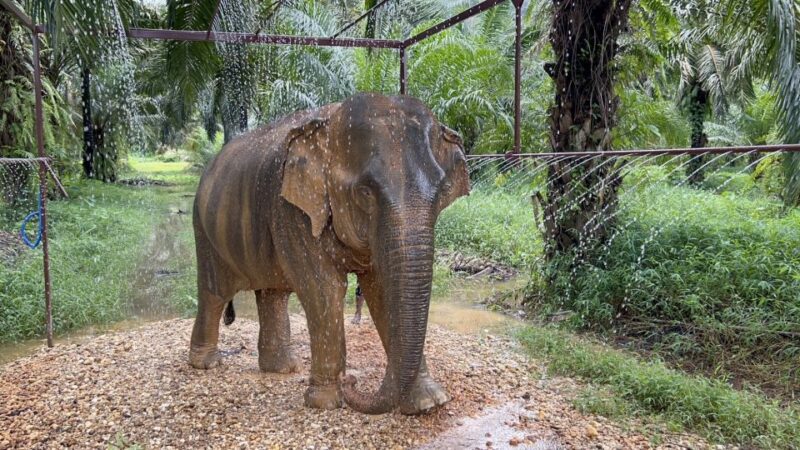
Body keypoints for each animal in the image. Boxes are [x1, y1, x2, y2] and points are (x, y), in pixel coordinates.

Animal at [189, 92, 470, 415]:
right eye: (365, 192)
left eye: (442, 190)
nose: (351, 381)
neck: (331, 120)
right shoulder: (292, 210)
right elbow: (324, 289)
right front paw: (325, 403)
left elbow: (382, 290)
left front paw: (429, 402)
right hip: (204, 229)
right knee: (215, 293)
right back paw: (206, 364)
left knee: (272, 294)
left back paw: (282, 369)